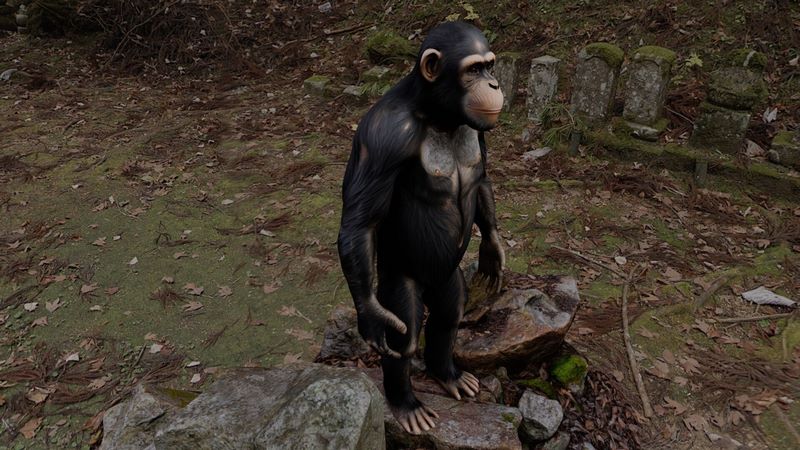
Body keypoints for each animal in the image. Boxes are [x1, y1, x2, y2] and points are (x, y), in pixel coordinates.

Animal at [337, 21, 504, 434]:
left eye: (490, 65)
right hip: (399, 280)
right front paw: (371, 318)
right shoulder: (382, 135)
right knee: (407, 333)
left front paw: (492, 250)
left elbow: (483, 179)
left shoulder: (479, 129)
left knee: (448, 313)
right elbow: (360, 223)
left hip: (447, 277)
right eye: (473, 70)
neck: (437, 114)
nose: (493, 83)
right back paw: (406, 404)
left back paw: (447, 374)